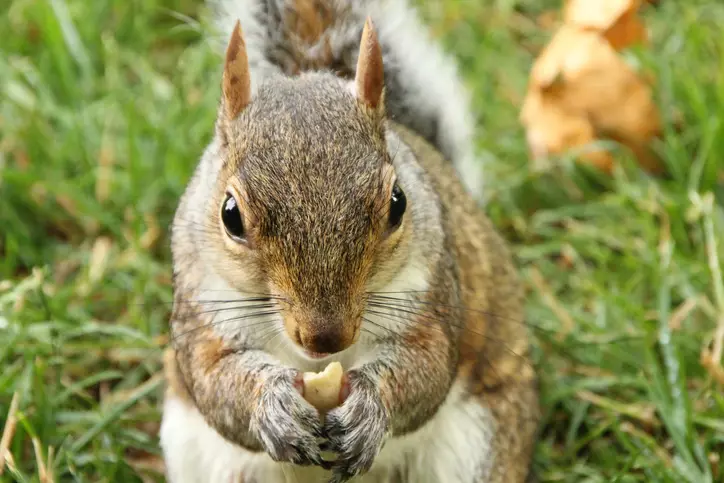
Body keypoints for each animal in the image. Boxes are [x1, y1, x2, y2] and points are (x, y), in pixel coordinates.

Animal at [161, 0, 540, 483]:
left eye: (398, 203)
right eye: (231, 215)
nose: (326, 337)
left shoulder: (433, 295)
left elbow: (428, 364)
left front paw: (369, 405)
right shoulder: (202, 309)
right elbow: (213, 378)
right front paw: (273, 404)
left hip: (479, 442)